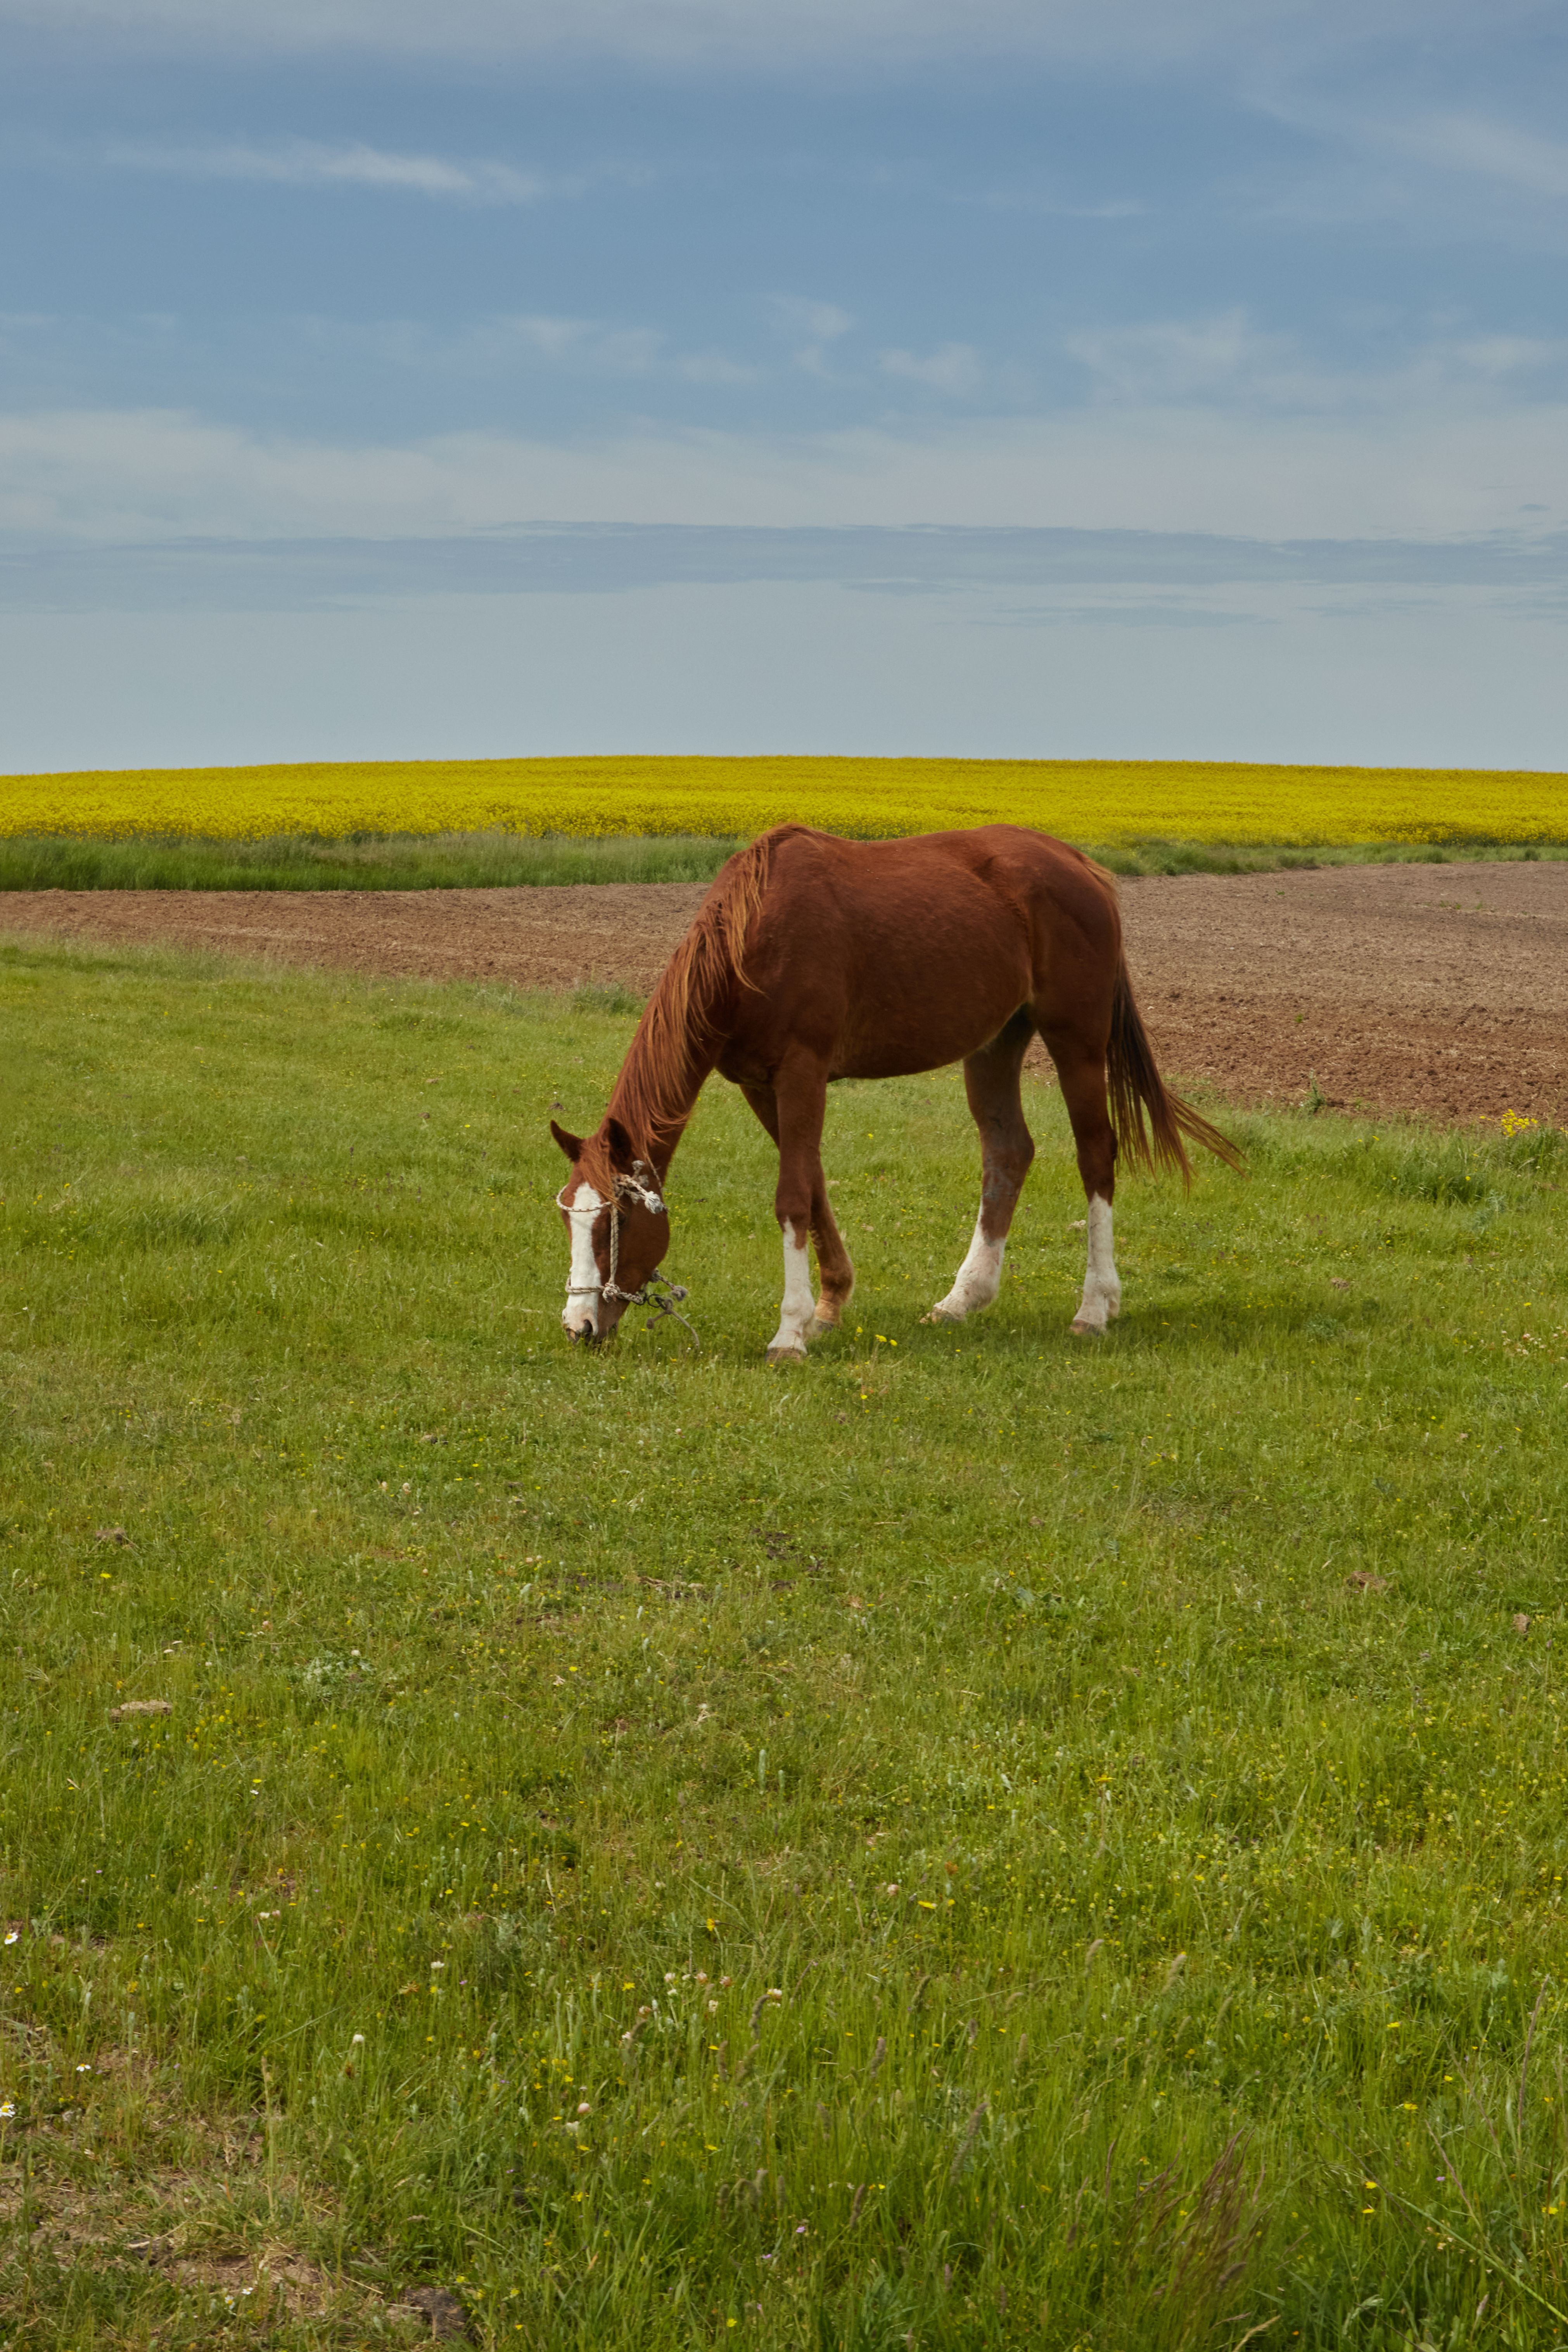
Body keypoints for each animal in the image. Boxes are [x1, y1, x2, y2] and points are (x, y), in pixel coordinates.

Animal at [550, 822, 1238, 1358]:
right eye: (569, 1218)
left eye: (613, 1220)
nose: (579, 1325)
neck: (750, 941)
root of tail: (1079, 864)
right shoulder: (760, 1086)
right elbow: (814, 1185)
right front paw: (827, 1307)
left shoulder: (801, 1072)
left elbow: (792, 1196)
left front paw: (789, 1333)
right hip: (996, 1043)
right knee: (1008, 1153)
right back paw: (963, 1298)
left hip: (1076, 1038)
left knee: (1095, 1154)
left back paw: (1094, 1307)